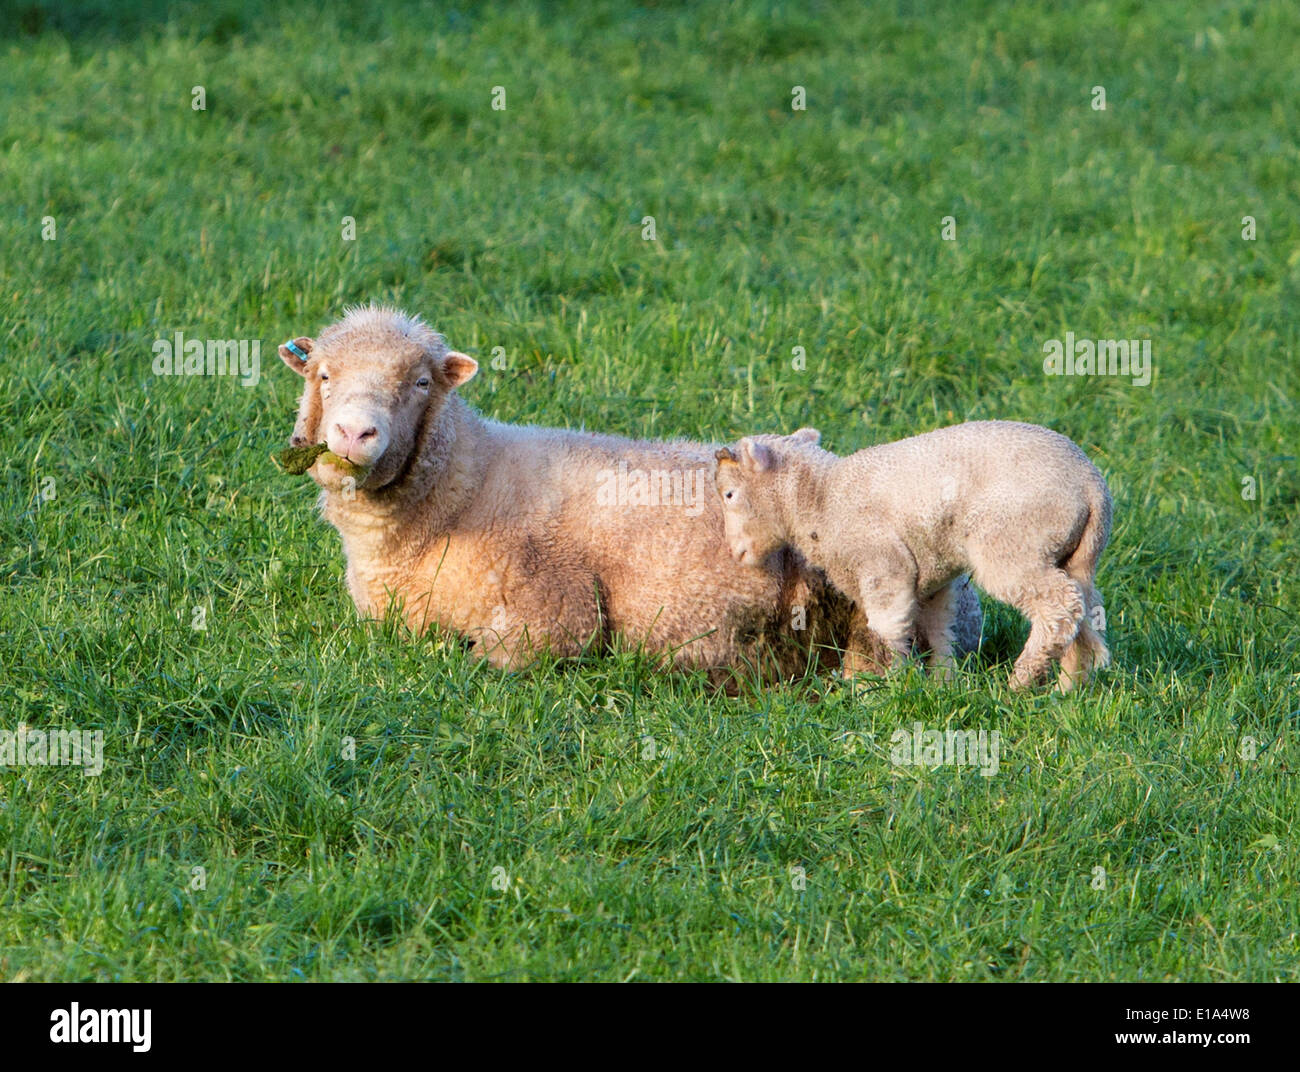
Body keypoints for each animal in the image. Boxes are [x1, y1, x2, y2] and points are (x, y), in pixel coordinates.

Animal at [276, 304, 985, 682]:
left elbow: (500, 654)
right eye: (323, 374)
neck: (464, 489)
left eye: (421, 382)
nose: (354, 432)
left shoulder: (555, 614)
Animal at [714, 421, 1112, 691]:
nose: (734, 552)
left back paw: (1020, 682)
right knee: (1082, 611)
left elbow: (889, 628)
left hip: (1013, 543)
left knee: (1057, 606)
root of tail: (1090, 483)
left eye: (729, 494)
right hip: (1075, 554)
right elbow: (939, 628)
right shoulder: (934, 579)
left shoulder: (884, 565)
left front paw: (896, 682)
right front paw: (942, 682)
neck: (821, 500)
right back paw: (1070, 683)